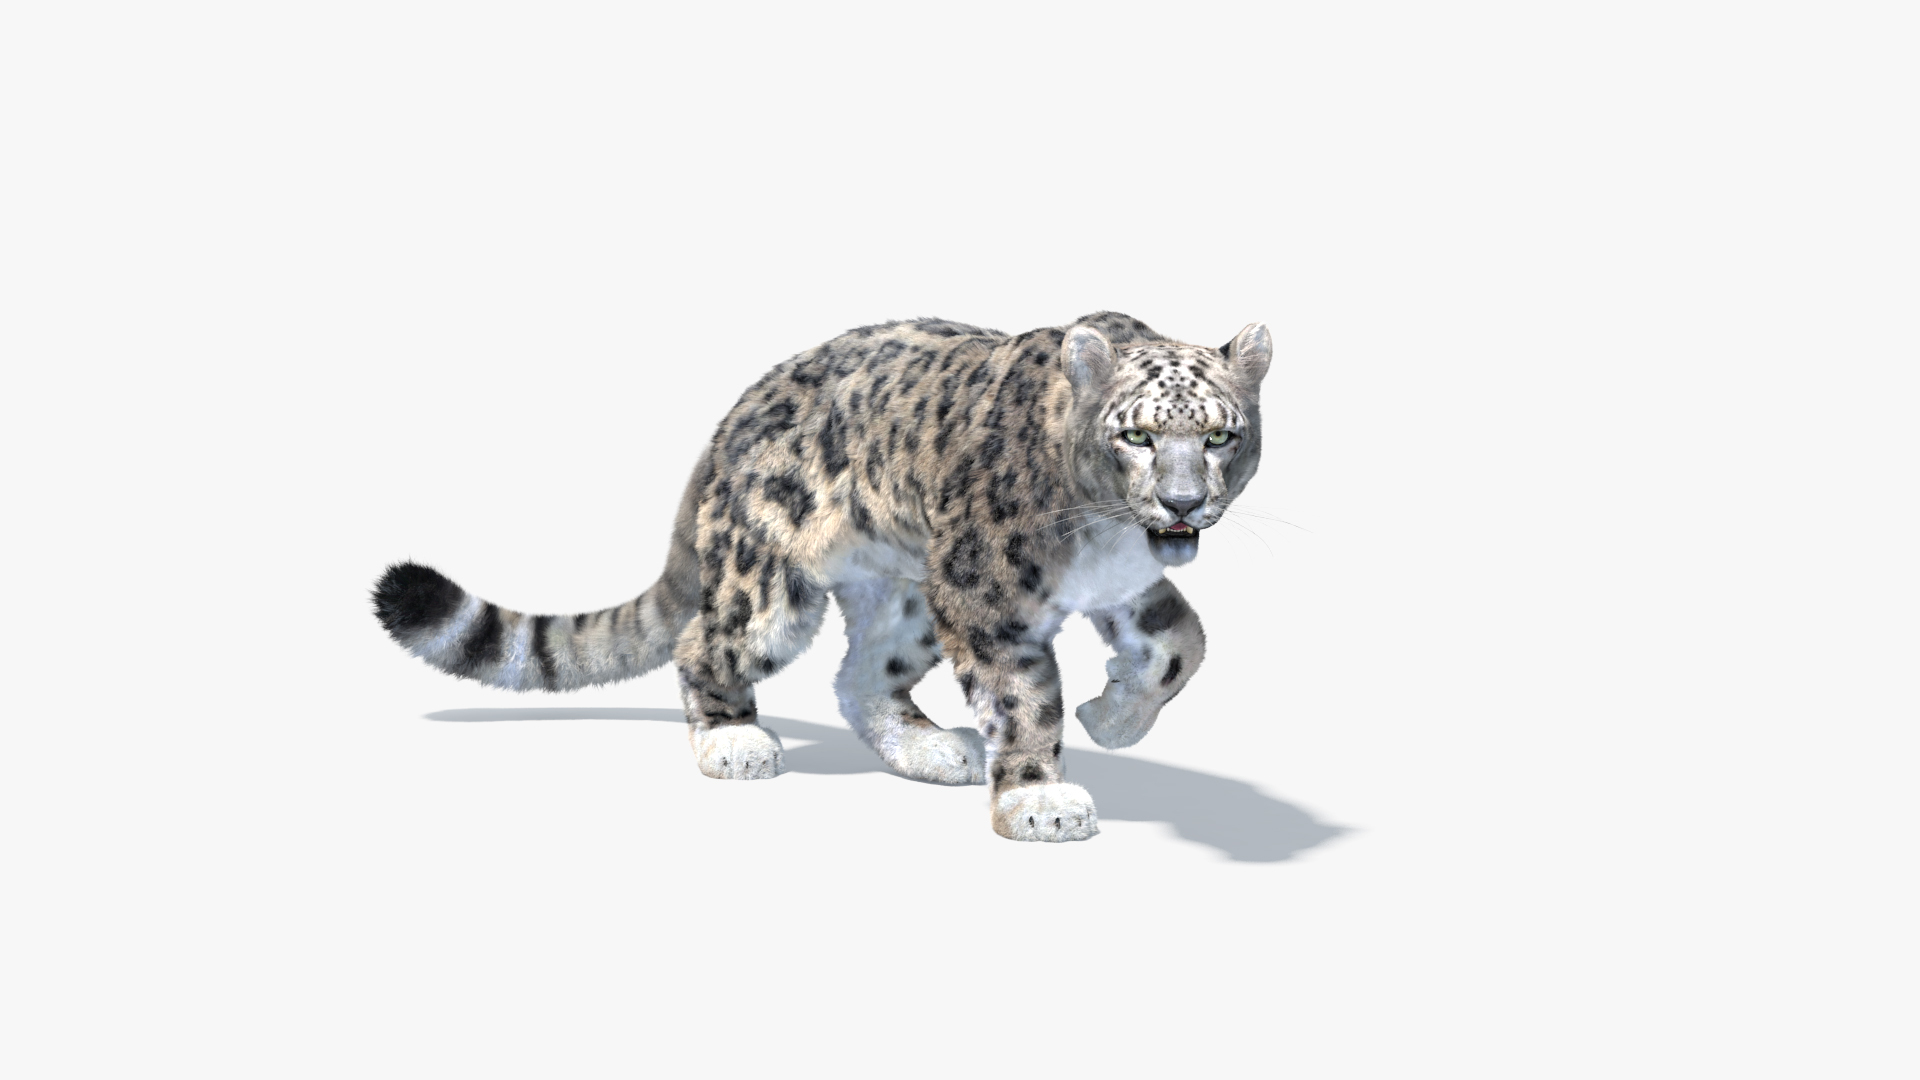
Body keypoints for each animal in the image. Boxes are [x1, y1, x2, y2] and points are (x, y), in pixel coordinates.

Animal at [372, 311, 1273, 842]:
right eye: (1140, 436)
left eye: (1220, 436)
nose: (1183, 503)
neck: (1112, 536)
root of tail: (731, 418)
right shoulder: (986, 593)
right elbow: (1022, 699)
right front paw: (1039, 796)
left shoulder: (1122, 584)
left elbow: (1183, 644)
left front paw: (1112, 717)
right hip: (771, 582)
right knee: (707, 642)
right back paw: (733, 740)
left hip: (906, 596)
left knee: (859, 674)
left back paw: (927, 746)